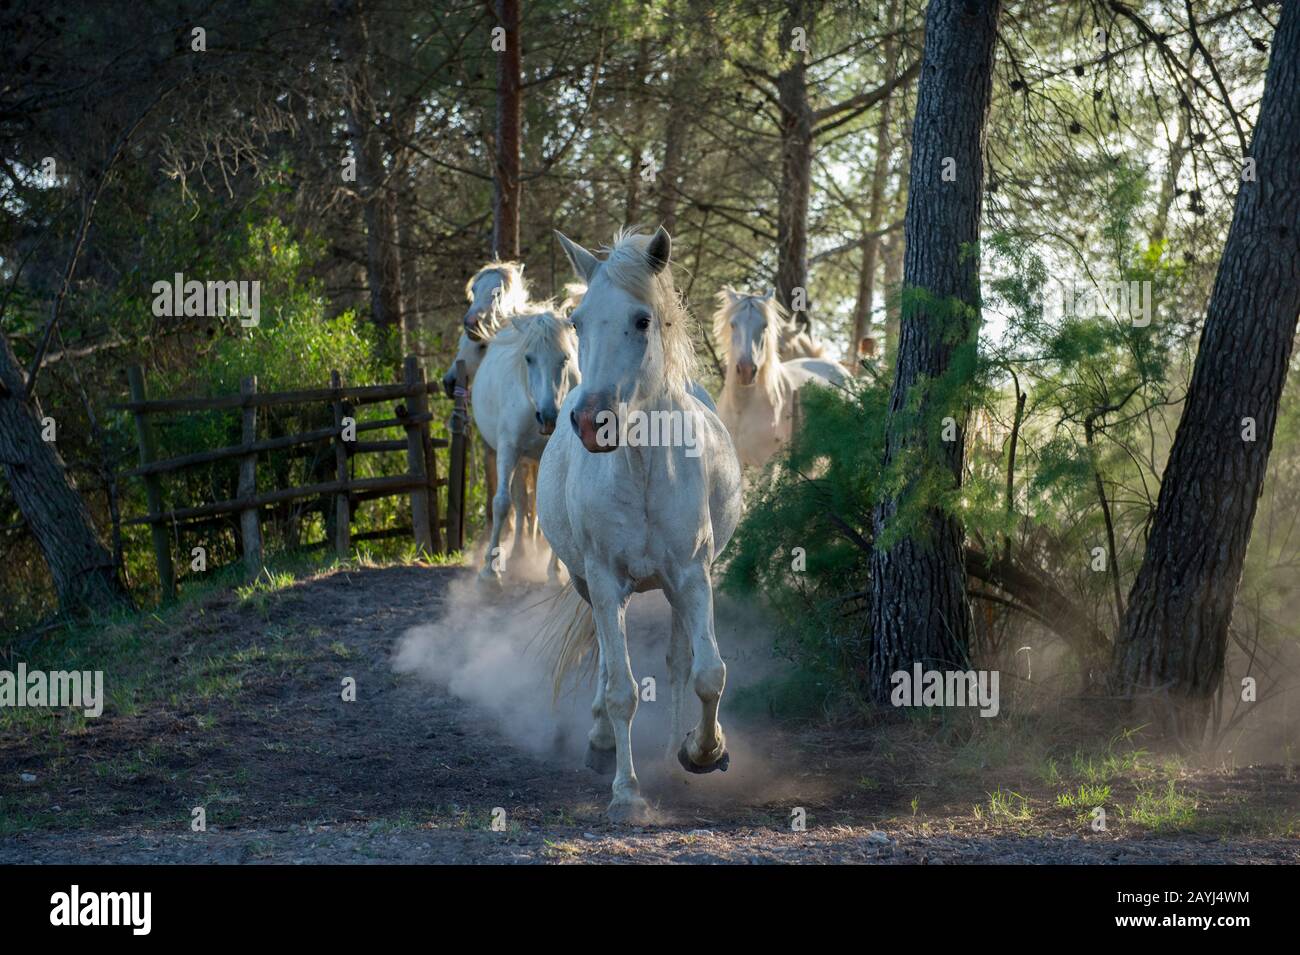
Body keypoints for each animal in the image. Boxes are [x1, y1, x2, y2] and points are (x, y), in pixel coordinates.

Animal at [471, 309, 578, 584]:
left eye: (565, 359)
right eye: (528, 358)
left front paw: (555, 571)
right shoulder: (509, 449)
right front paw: (489, 573)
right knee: (519, 502)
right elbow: (502, 503)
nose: (549, 417)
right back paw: (517, 553)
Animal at [538, 227, 743, 824]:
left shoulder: (694, 576)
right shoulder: (606, 582)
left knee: (678, 662)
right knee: (608, 666)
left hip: (676, 587)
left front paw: (704, 750)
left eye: (643, 319)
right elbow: (621, 690)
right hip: (590, 585)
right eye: (577, 321)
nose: (591, 421)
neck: (645, 468)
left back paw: (677, 745)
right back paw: (602, 745)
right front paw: (626, 793)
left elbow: (707, 672)